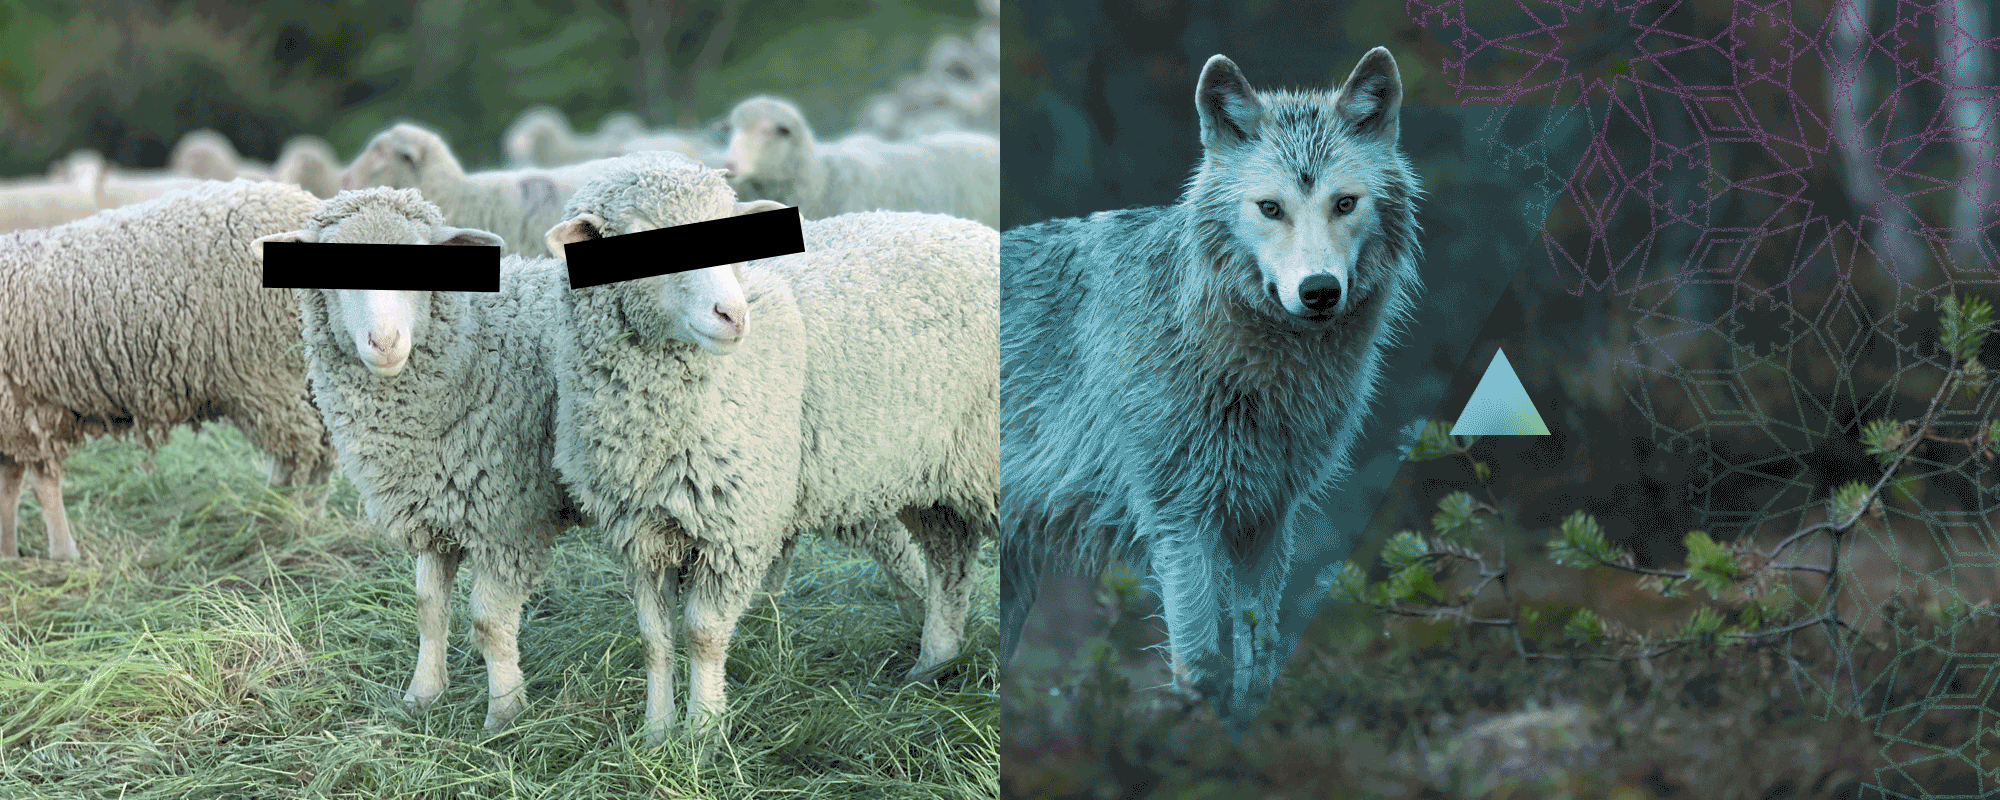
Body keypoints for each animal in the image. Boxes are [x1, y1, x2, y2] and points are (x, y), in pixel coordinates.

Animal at [0, 179, 337, 560]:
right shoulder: (12, 419)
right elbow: (9, 485)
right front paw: (9, 553)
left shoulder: (24, 407)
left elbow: (41, 483)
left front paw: (62, 554)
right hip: (303, 373)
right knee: (324, 446)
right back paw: (306, 516)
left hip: (265, 374)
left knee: (299, 449)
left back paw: (278, 519)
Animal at [248, 187, 578, 731]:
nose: (384, 343)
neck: (479, 346)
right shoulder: (434, 507)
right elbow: (428, 609)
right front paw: (423, 695)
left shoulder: (510, 521)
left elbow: (488, 622)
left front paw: (505, 714)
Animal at [542, 152, 997, 743]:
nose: (733, 315)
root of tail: (980, 233)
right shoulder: (641, 531)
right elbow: (654, 638)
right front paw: (656, 733)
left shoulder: (737, 525)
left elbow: (704, 634)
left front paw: (703, 734)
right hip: (931, 472)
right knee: (951, 562)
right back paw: (933, 664)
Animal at [999, 47, 1424, 693]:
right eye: (1271, 208)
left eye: (1345, 203)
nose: (1319, 291)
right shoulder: (1180, 525)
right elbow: (1200, 667)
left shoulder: (1265, 522)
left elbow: (1257, 661)